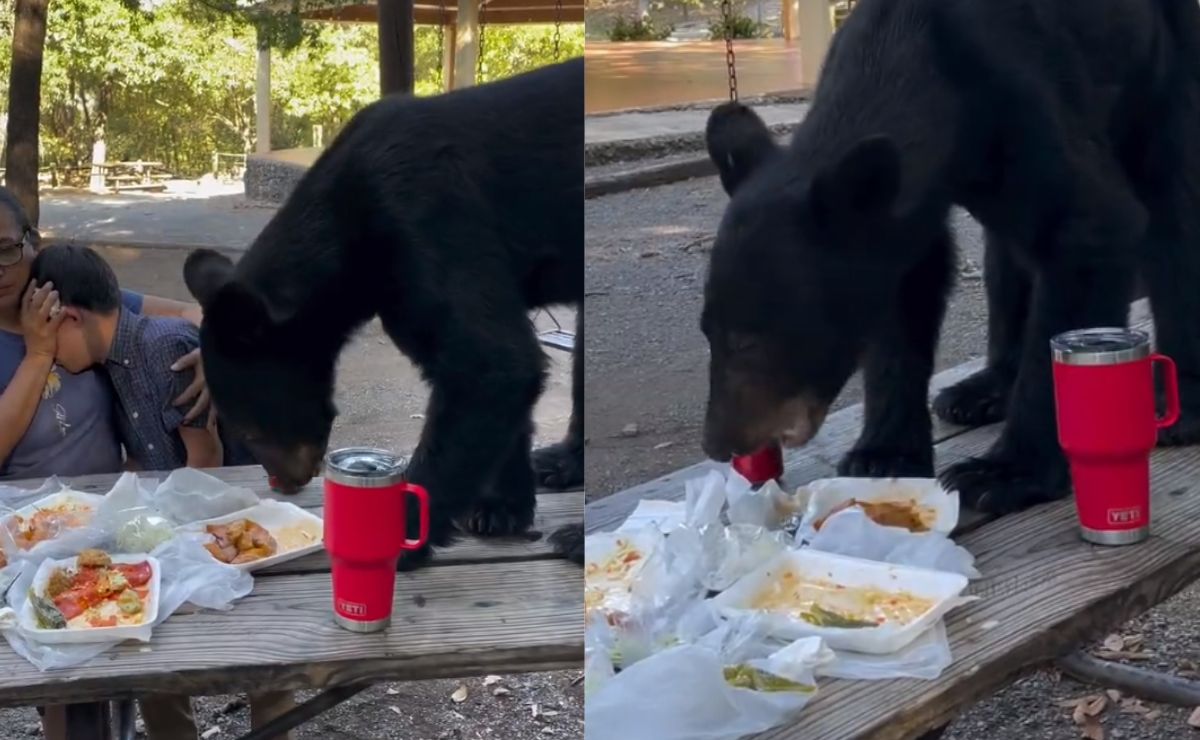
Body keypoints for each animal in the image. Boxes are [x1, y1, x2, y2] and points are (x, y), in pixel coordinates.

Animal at [183, 58, 584, 565]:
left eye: (250, 430)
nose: (283, 481)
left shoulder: (430, 218)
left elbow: (491, 364)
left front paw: (398, 537)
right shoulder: (400, 293)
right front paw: (500, 508)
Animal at [700, 0, 1200, 516]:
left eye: (749, 341)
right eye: (707, 333)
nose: (719, 444)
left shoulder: (1025, 97)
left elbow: (1090, 232)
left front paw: (1007, 472)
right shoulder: (905, 209)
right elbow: (906, 297)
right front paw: (884, 453)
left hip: (1167, 64)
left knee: (1172, 206)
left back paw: (1178, 401)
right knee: (1008, 256)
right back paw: (985, 387)